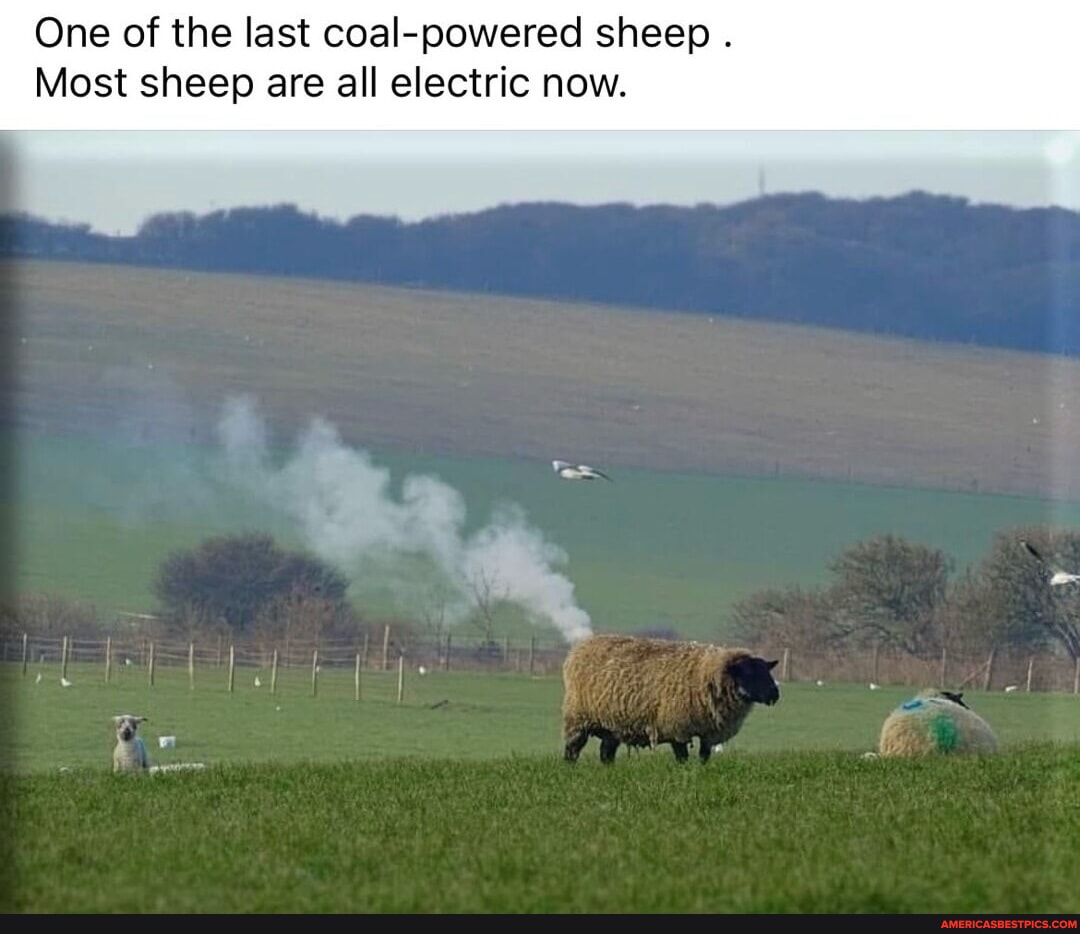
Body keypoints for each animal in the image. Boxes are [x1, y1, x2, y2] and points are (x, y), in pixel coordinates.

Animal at [561, 633, 780, 764]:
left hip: (613, 725)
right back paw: (569, 767)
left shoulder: (708, 732)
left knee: (606, 752)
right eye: (748, 673)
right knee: (572, 748)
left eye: (766, 671)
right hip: (578, 718)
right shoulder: (677, 727)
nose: (775, 695)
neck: (706, 674)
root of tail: (579, 648)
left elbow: (704, 755)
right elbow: (682, 755)